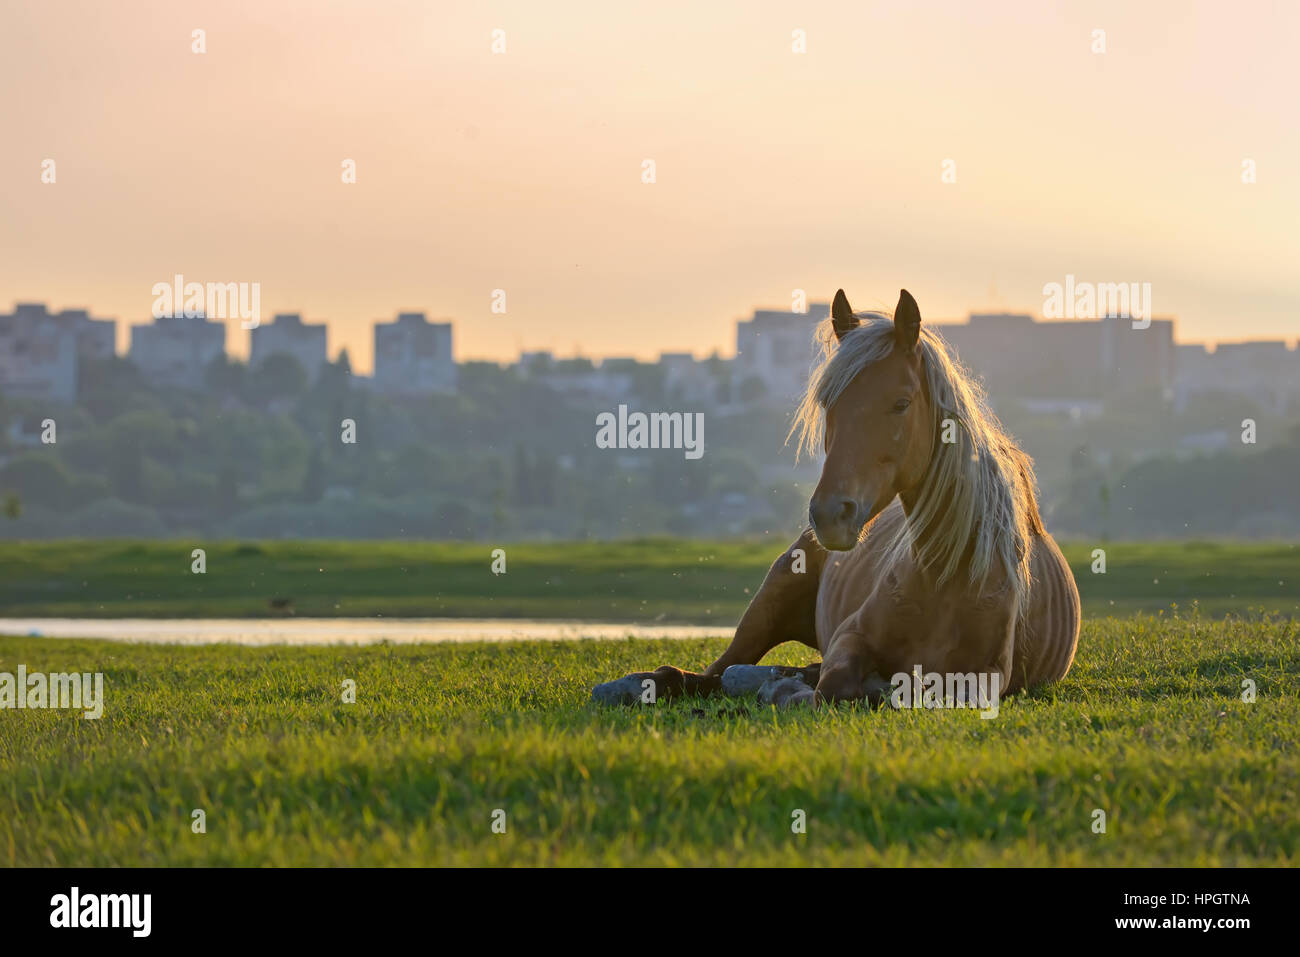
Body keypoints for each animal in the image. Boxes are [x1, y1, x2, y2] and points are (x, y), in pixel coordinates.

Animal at [597, 288, 1080, 707]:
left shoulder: (982, 678)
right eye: (828, 404)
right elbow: (834, 686)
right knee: (708, 673)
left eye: (901, 403)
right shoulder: (851, 639)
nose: (831, 515)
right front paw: (784, 689)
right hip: (770, 601)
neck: (947, 576)